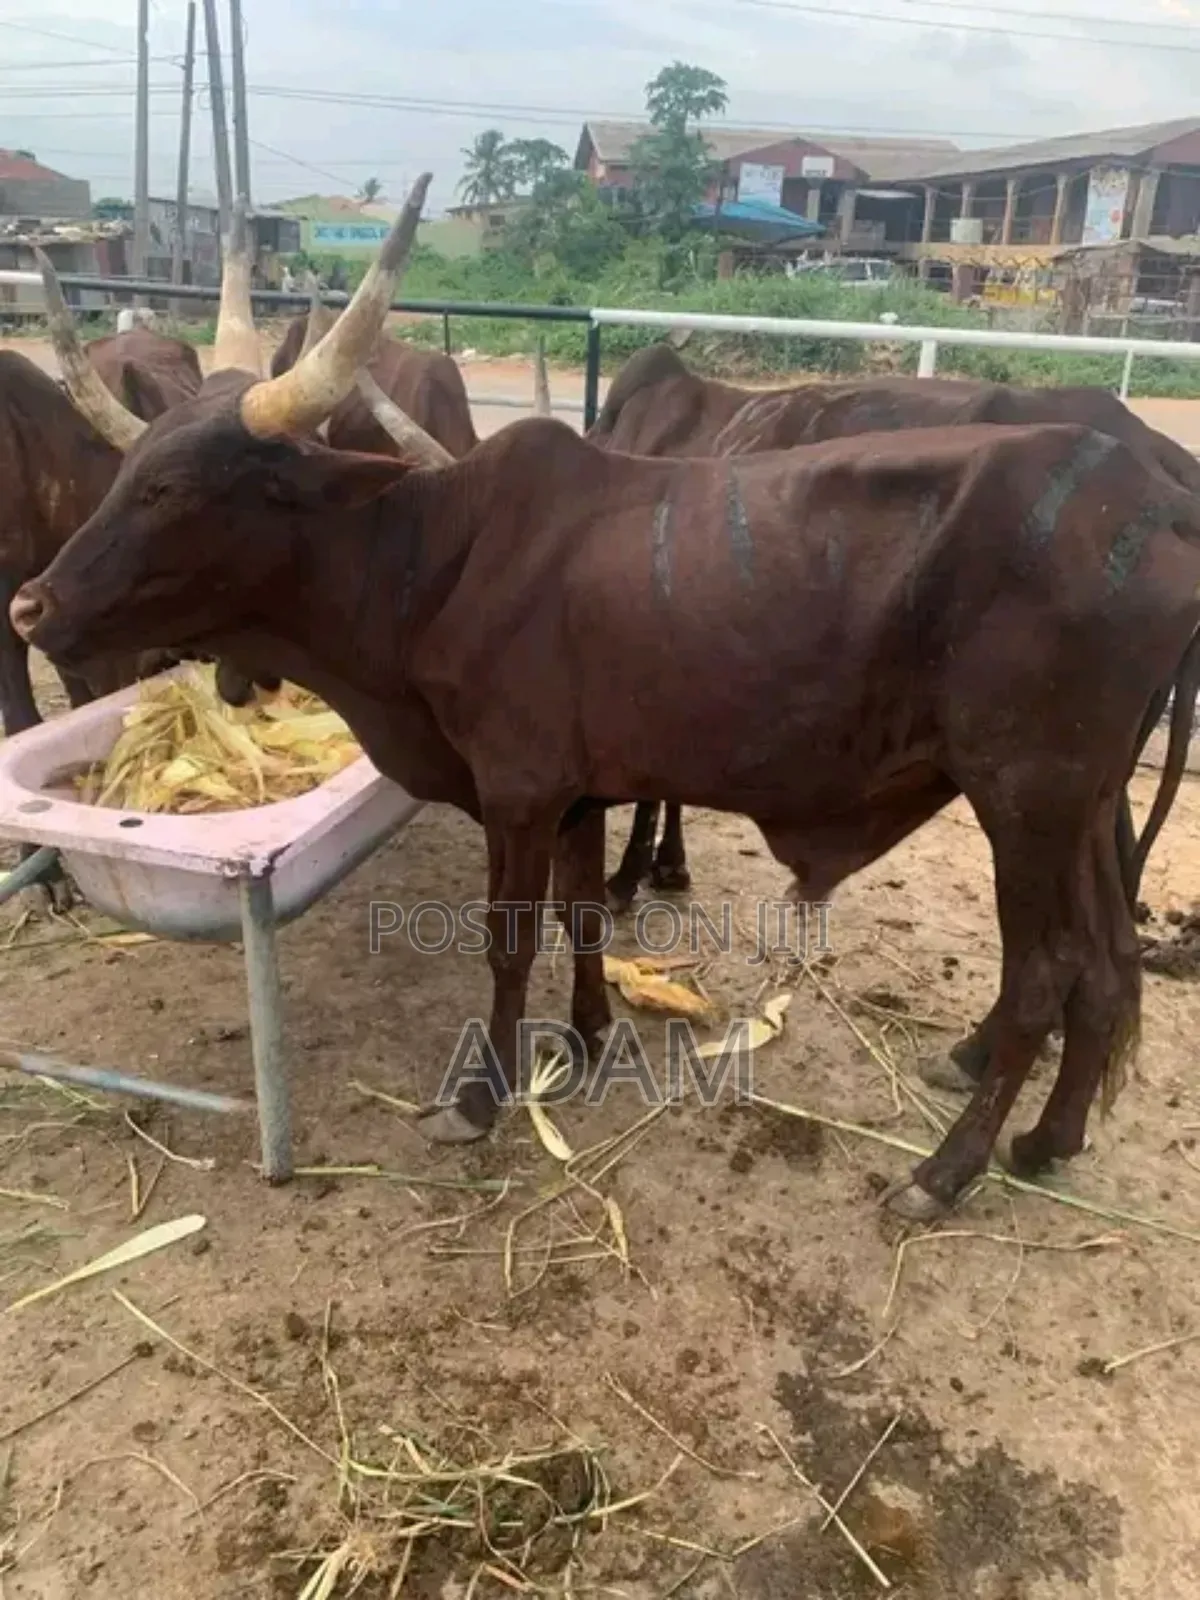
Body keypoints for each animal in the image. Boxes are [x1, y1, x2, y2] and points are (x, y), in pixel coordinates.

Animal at [14, 178, 1200, 1225]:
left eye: (172, 486)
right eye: (130, 461)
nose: (31, 606)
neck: (430, 562)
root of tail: (1154, 496)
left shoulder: (519, 790)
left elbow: (509, 940)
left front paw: (480, 1097)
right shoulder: (580, 793)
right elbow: (583, 914)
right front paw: (584, 1039)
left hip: (1026, 798)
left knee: (1045, 975)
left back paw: (943, 1174)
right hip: (1082, 807)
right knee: (1106, 964)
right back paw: (1048, 1140)